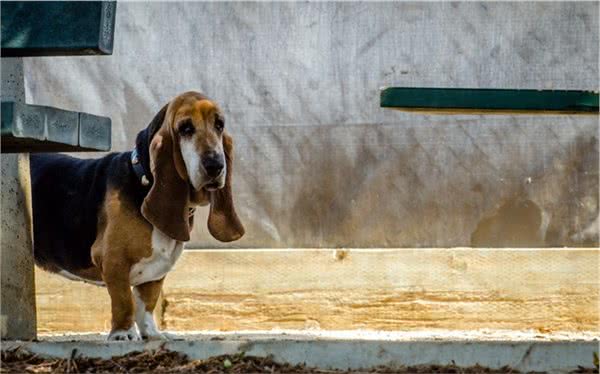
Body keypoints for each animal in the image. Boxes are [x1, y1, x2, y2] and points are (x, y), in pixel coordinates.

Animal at [30, 92, 244, 340]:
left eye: (219, 125)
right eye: (185, 128)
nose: (215, 165)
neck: (143, 180)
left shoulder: (155, 274)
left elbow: (145, 305)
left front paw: (152, 334)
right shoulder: (113, 261)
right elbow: (124, 302)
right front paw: (122, 334)